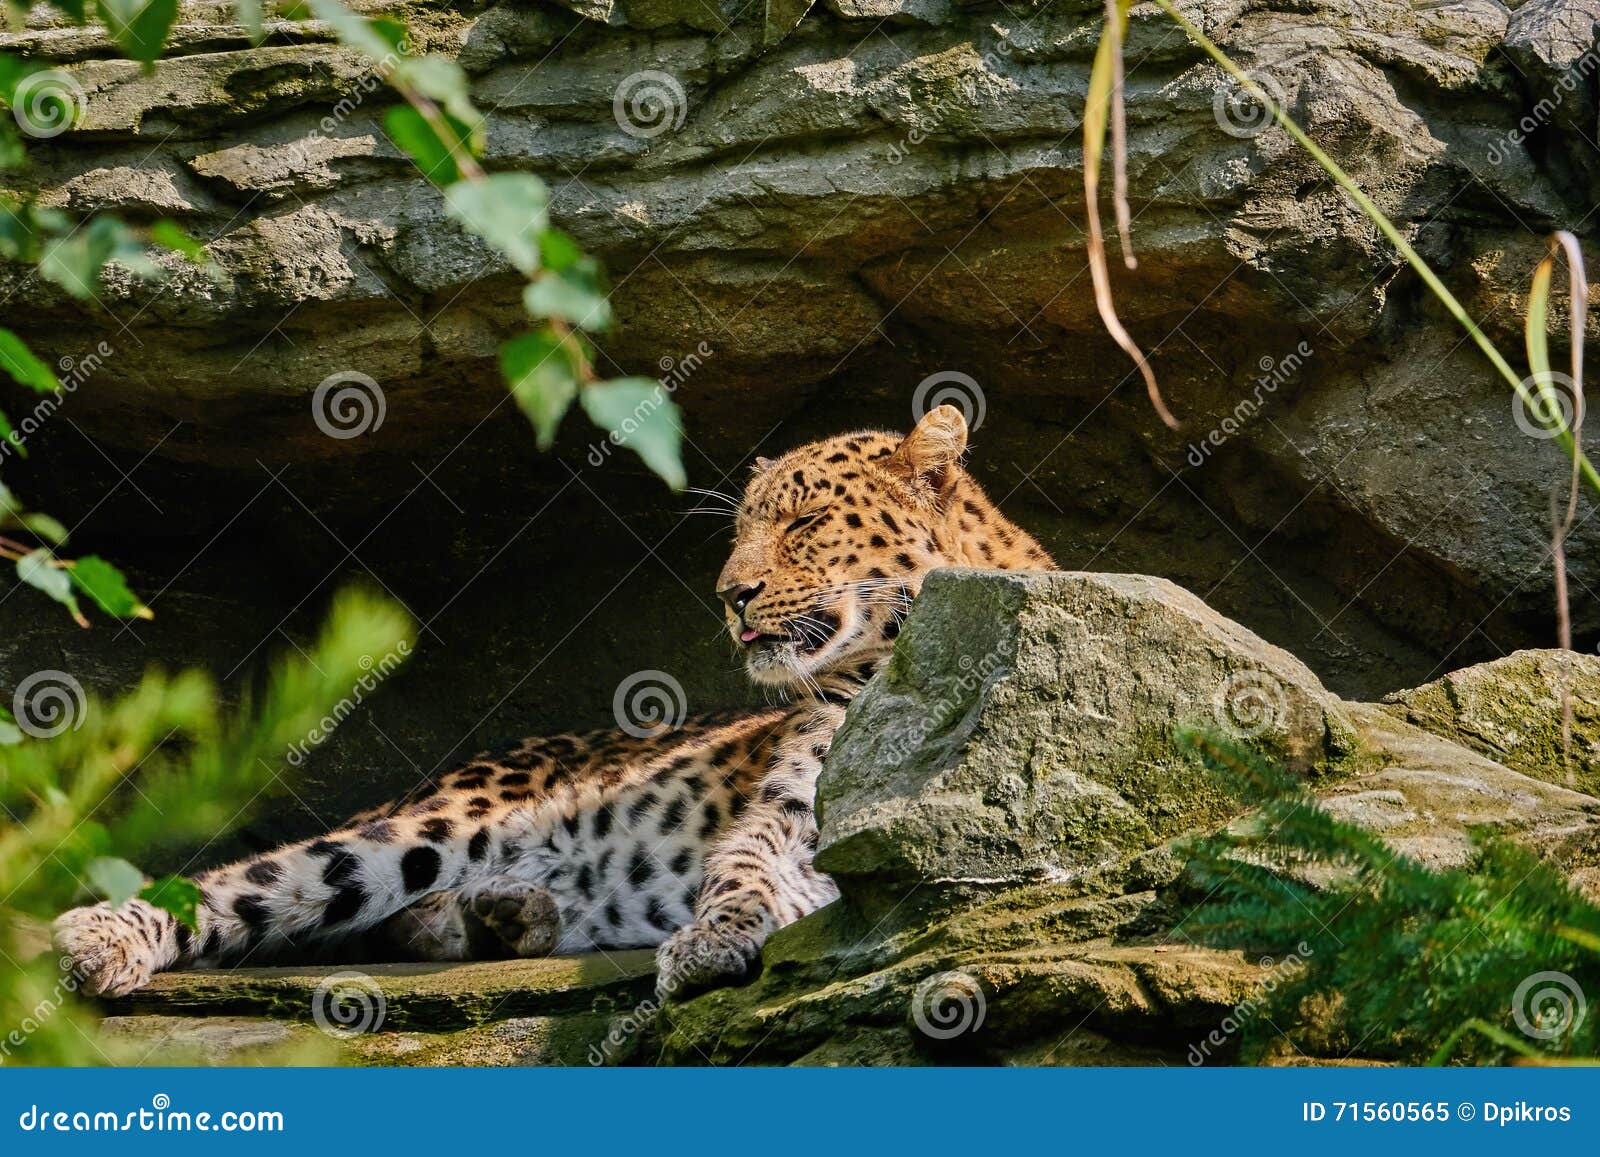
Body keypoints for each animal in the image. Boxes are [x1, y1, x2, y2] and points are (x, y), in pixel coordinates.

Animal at [53, 404, 1054, 1001]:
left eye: (805, 522)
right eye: (741, 529)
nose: (730, 595)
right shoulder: (784, 805)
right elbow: (743, 865)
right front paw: (714, 935)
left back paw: (510, 912)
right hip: (439, 824)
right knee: (268, 884)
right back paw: (94, 934)